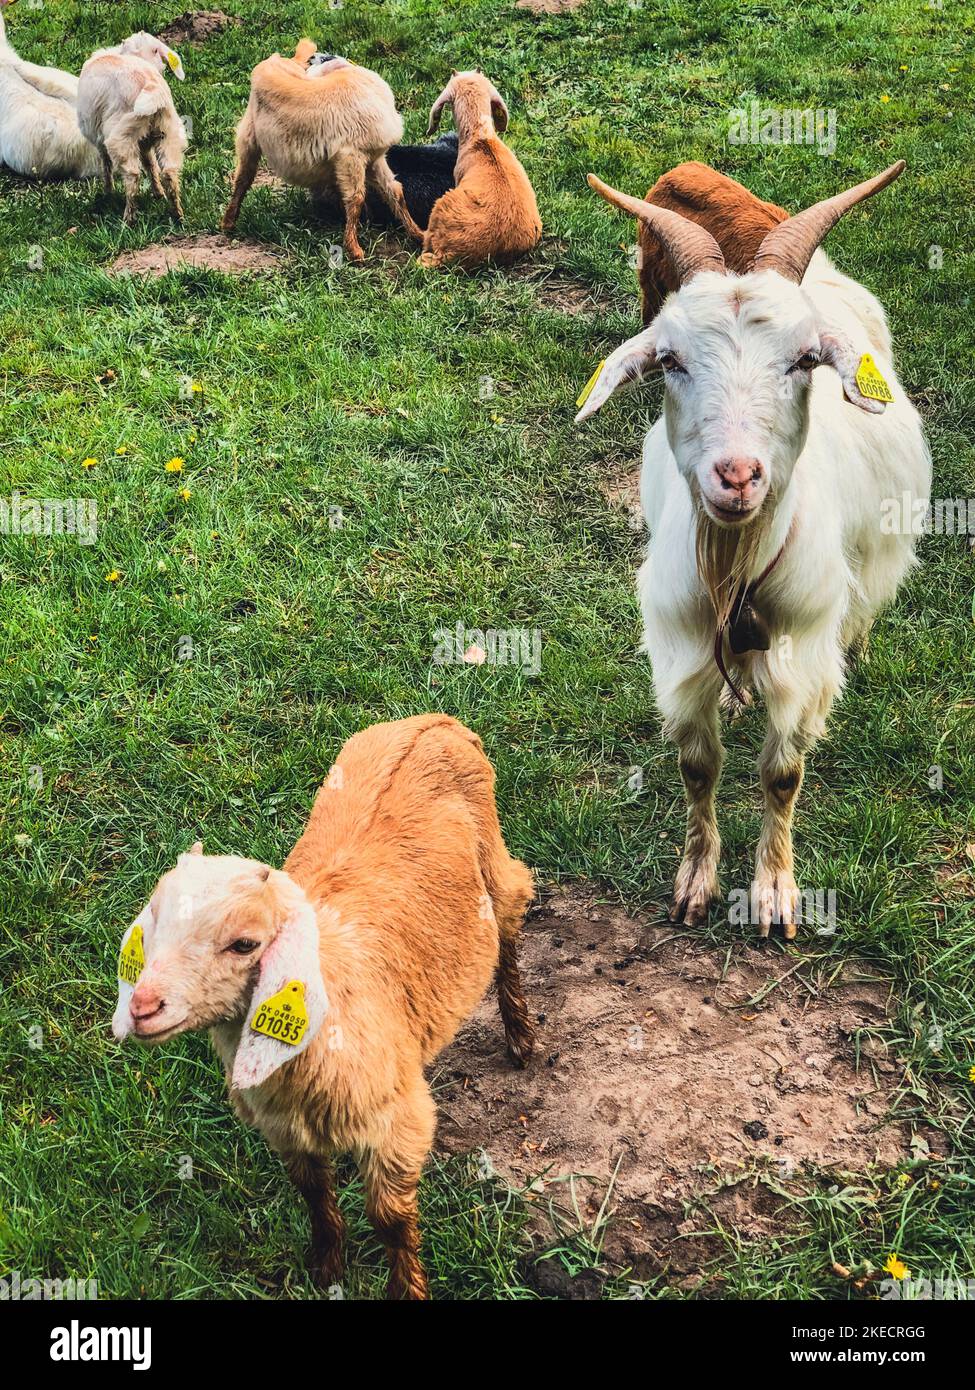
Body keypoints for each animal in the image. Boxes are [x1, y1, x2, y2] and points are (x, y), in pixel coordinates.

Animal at [77, 32, 187, 225]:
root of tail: (152, 86)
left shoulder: (99, 138)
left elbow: (106, 164)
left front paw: (108, 192)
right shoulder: (144, 142)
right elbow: (150, 164)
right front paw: (158, 193)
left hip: (121, 135)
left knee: (133, 175)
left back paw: (128, 218)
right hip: (168, 131)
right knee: (169, 171)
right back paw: (177, 214)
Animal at [112, 714, 534, 1300]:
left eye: (244, 944)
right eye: (150, 925)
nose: (145, 1006)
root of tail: (431, 721)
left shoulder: (396, 1121)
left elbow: (390, 1220)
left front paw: (407, 1289)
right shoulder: (287, 1130)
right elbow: (314, 1196)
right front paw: (327, 1268)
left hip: (494, 860)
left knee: (510, 927)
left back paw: (521, 1036)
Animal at [221, 40, 423, 262]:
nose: (312, 58)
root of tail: (273, 60)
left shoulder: (375, 158)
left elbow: (395, 191)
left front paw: (418, 234)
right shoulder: (349, 155)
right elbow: (356, 198)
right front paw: (354, 249)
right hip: (248, 135)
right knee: (243, 179)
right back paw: (228, 221)